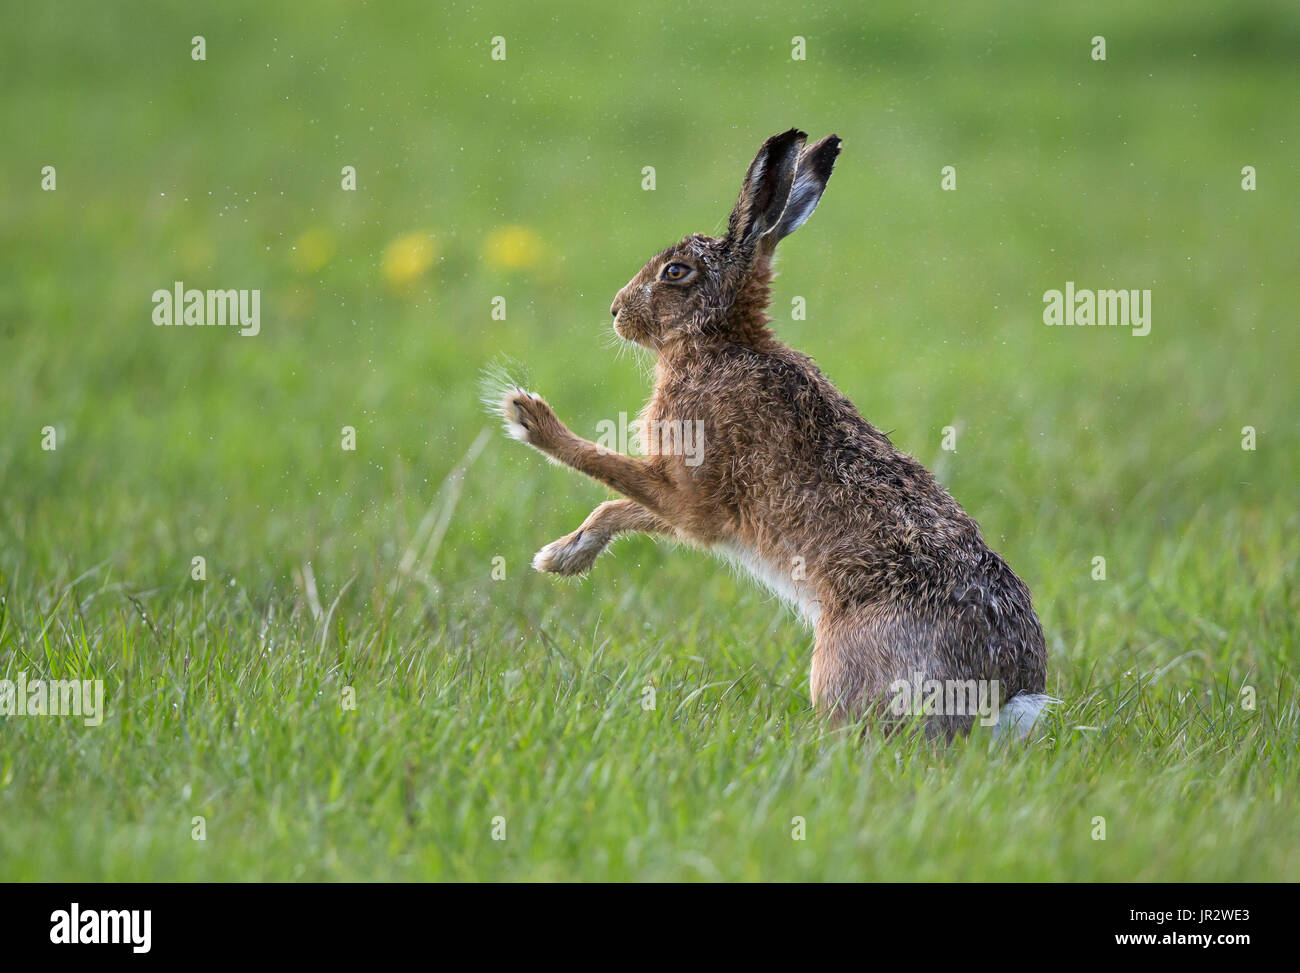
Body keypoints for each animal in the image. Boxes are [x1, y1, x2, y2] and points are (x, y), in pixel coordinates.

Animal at [491, 128, 1052, 737]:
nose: (616, 311)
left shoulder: (692, 496)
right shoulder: (697, 513)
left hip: (842, 658)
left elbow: (606, 471)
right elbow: (616, 507)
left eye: (675, 272)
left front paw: (528, 416)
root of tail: (1005, 694)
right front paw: (563, 558)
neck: (718, 342)